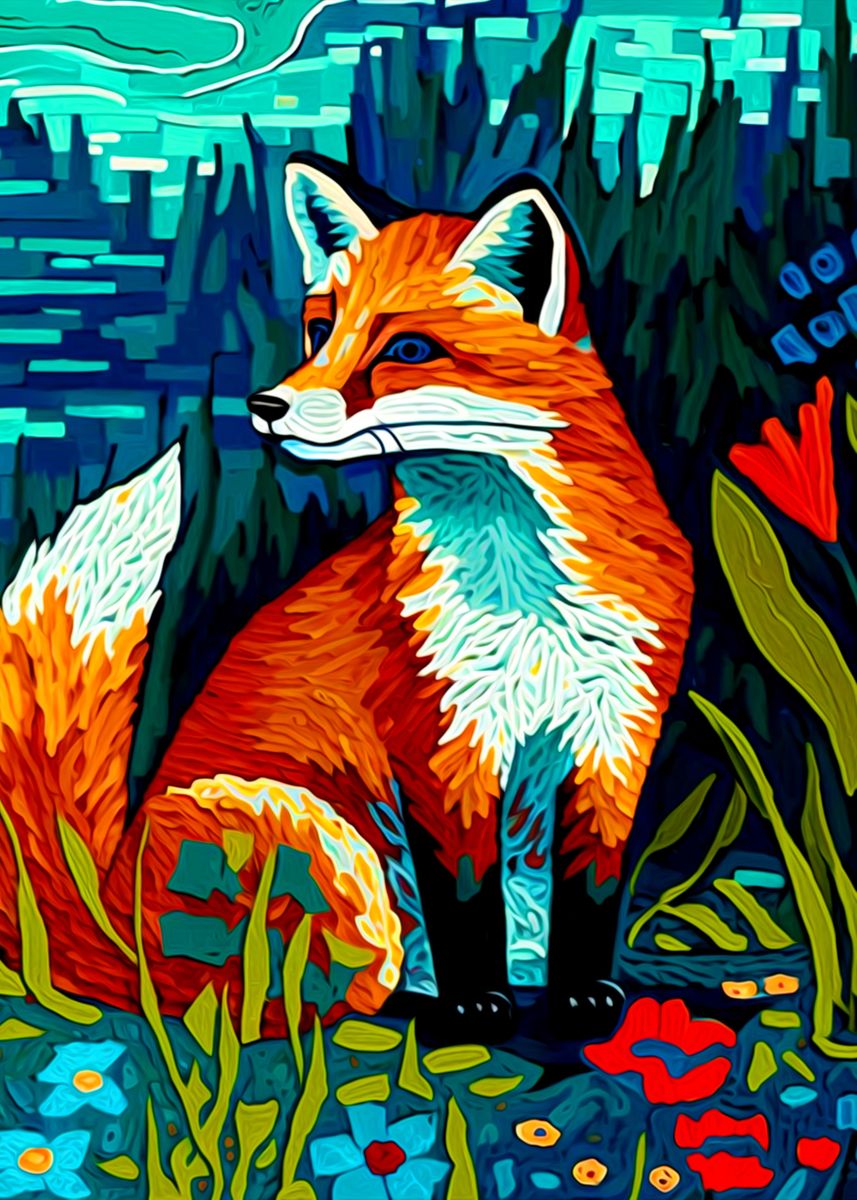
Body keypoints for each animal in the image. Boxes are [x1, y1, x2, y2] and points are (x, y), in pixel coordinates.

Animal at [0, 161, 693, 1045]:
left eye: (407, 349)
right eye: (320, 329)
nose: (265, 405)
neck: (525, 590)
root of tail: (104, 921)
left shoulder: (615, 734)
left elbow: (592, 891)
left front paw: (581, 997)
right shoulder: (442, 737)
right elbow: (463, 897)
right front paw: (475, 1006)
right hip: (326, 846)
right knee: (277, 1000)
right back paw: (405, 999)